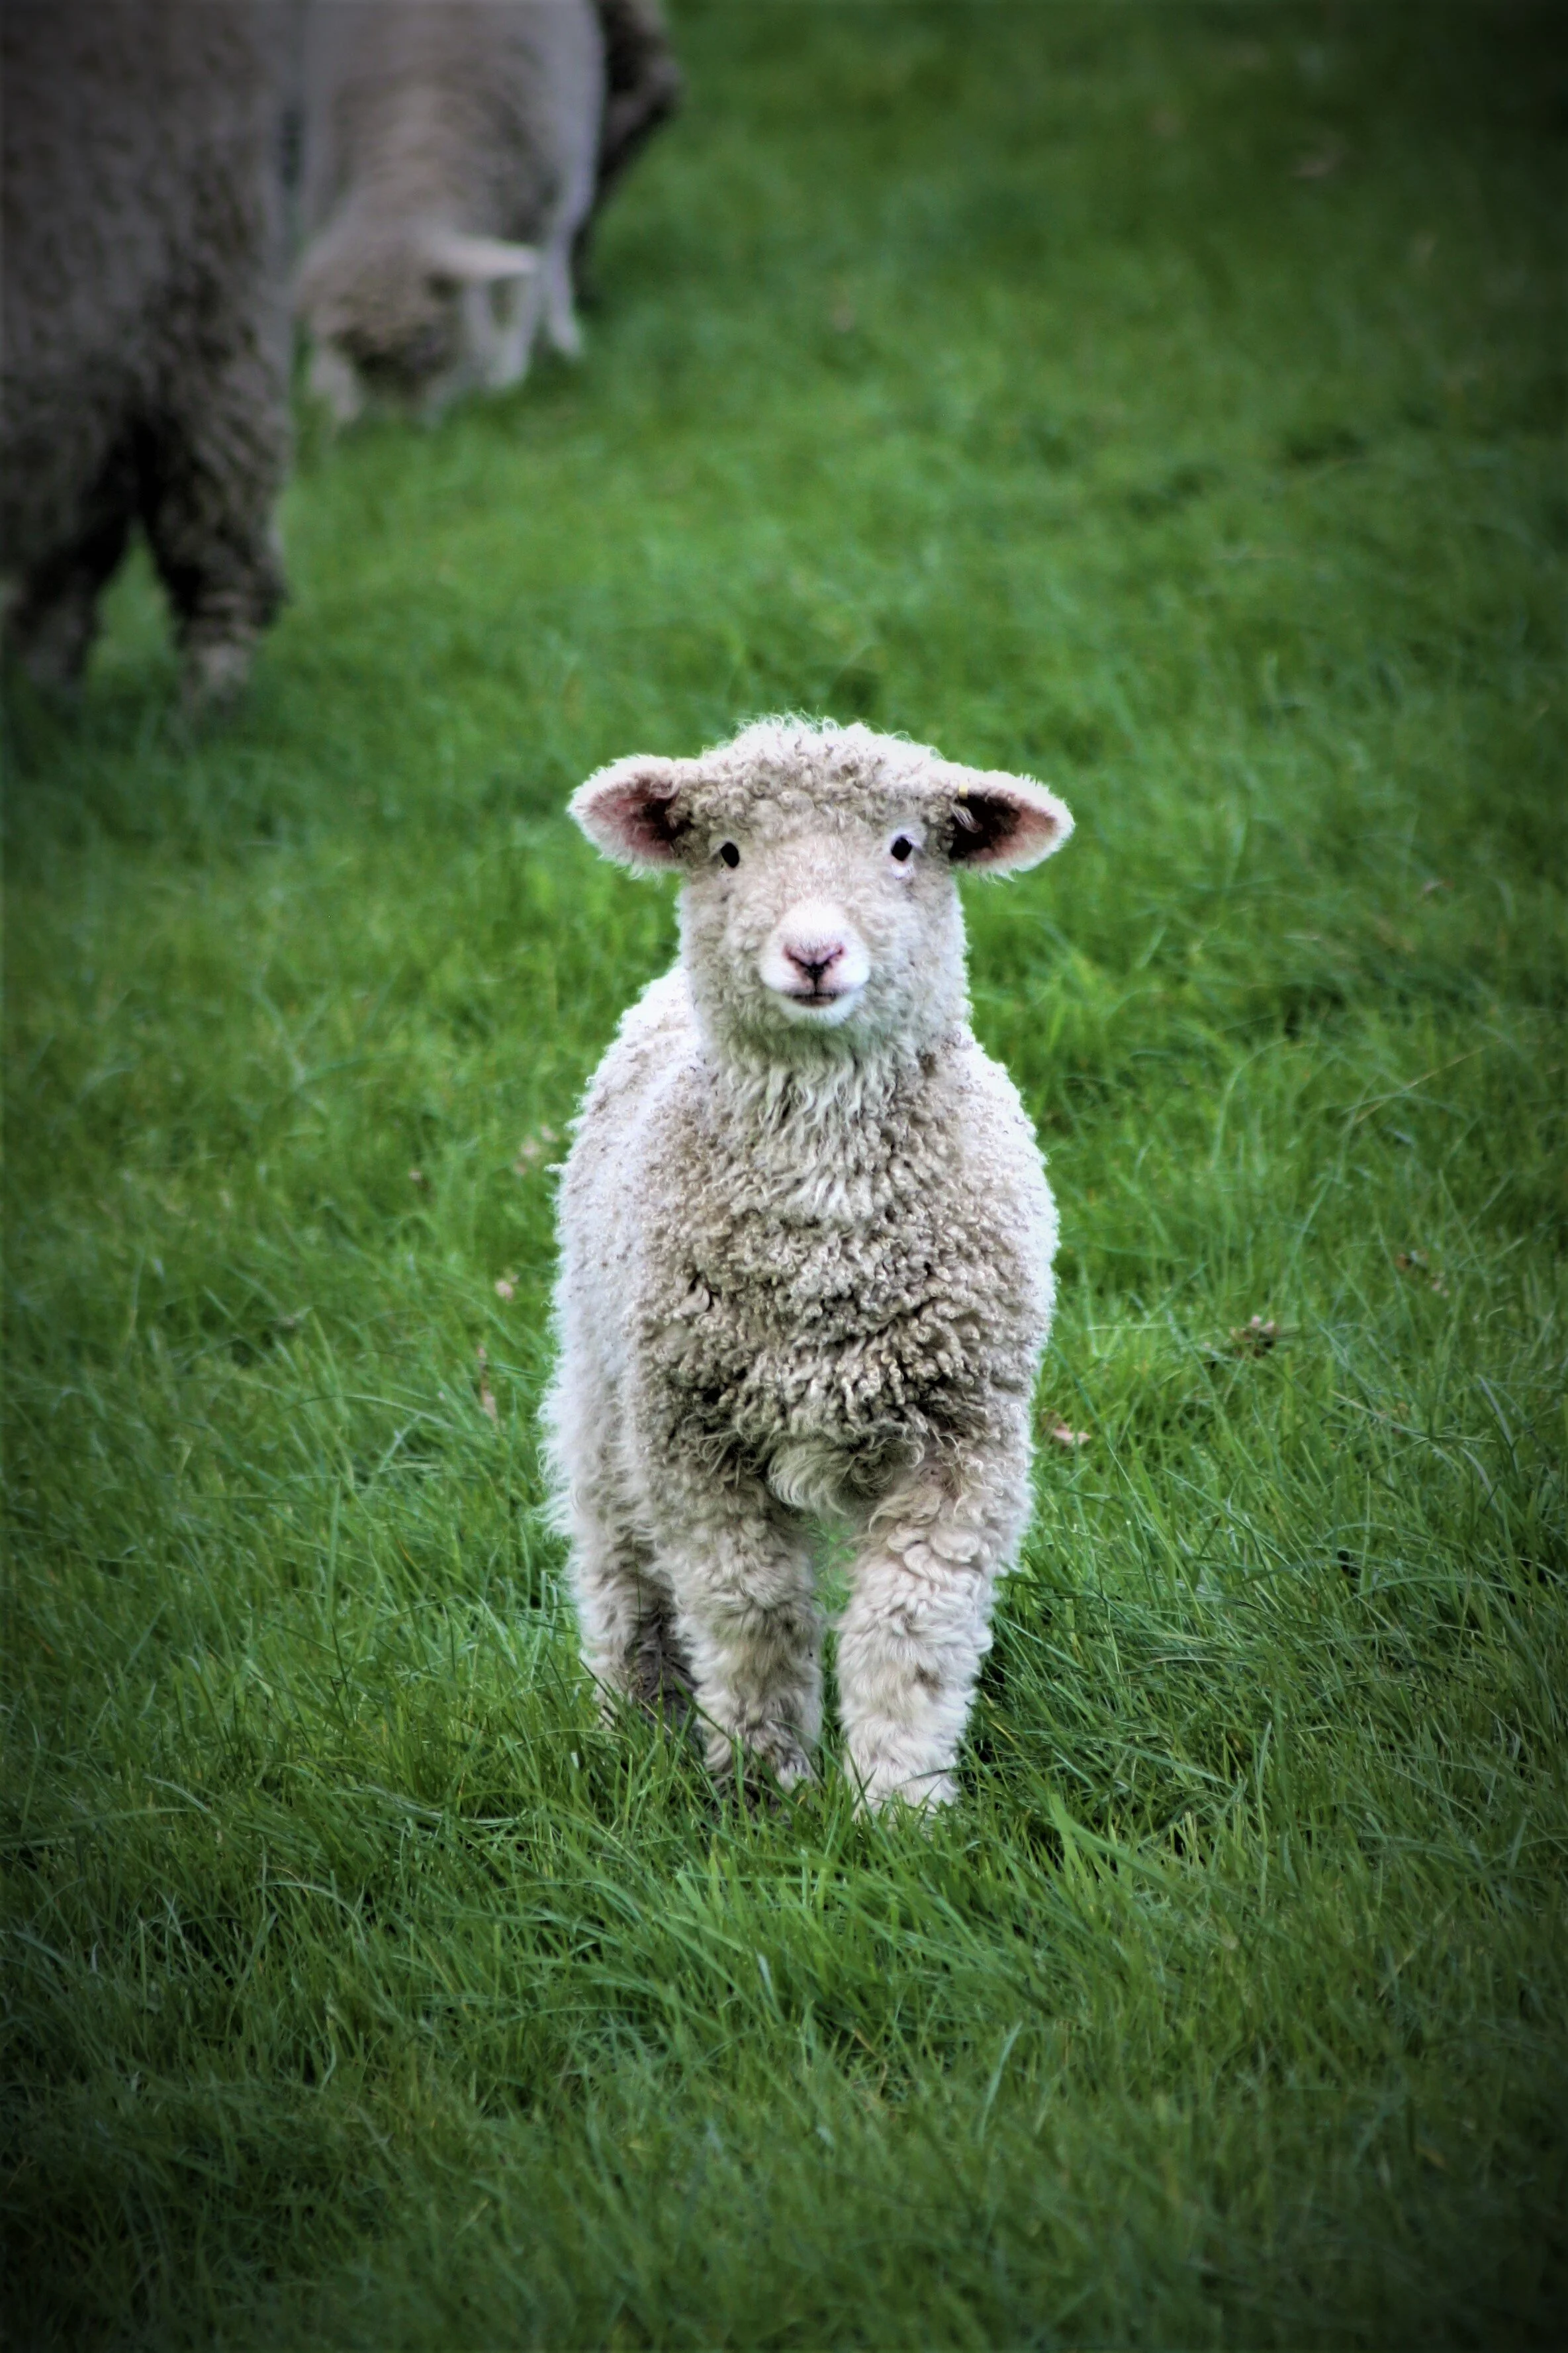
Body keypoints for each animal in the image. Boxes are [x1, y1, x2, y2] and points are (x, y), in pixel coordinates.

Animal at [1, 0, 292, 703]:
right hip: (91, 371)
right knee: (76, 550)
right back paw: (44, 698)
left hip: (207, 305)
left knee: (223, 551)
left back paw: (204, 705)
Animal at [296, 0, 606, 421]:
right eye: (362, 361)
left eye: (430, 342)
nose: (404, 429)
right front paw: (333, 392)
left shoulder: (538, 206)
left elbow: (517, 298)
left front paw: (503, 377)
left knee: (554, 259)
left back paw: (563, 337)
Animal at [546, 719, 1074, 1813]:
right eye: (727, 852)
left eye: (904, 846)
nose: (814, 952)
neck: (827, 1227)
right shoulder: (690, 1435)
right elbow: (752, 1611)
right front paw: (763, 1781)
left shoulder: (964, 1437)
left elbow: (908, 1622)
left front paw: (898, 1802)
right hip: (601, 1380)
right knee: (617, 1563)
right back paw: (629, 1723)